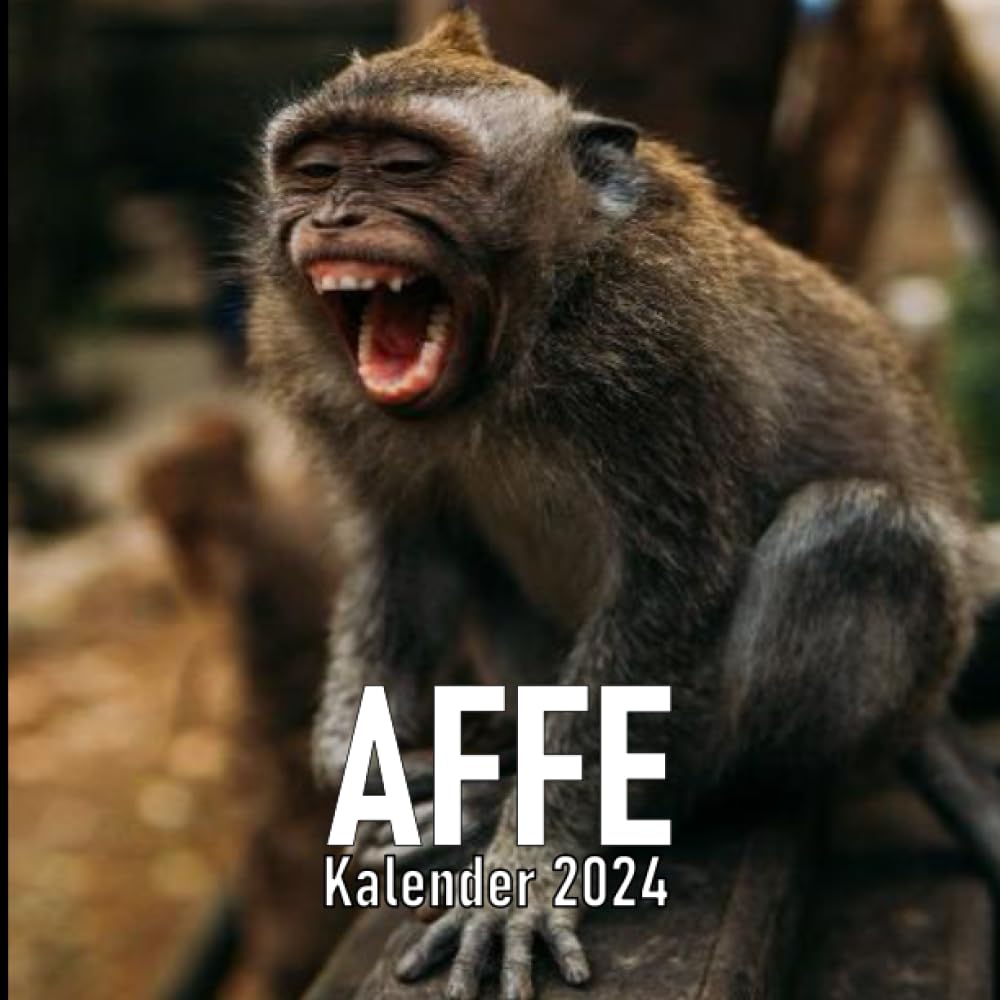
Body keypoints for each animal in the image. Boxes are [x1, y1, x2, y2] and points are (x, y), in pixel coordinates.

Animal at [247, 11, 997, 999]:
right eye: (317, 169)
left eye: (407, 166)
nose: (333, 217)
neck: (523, 341)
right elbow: (408, 550)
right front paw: (371, 774)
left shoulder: (660, 349)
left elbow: (670, 586)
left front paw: (529, 866)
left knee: (857, 535)